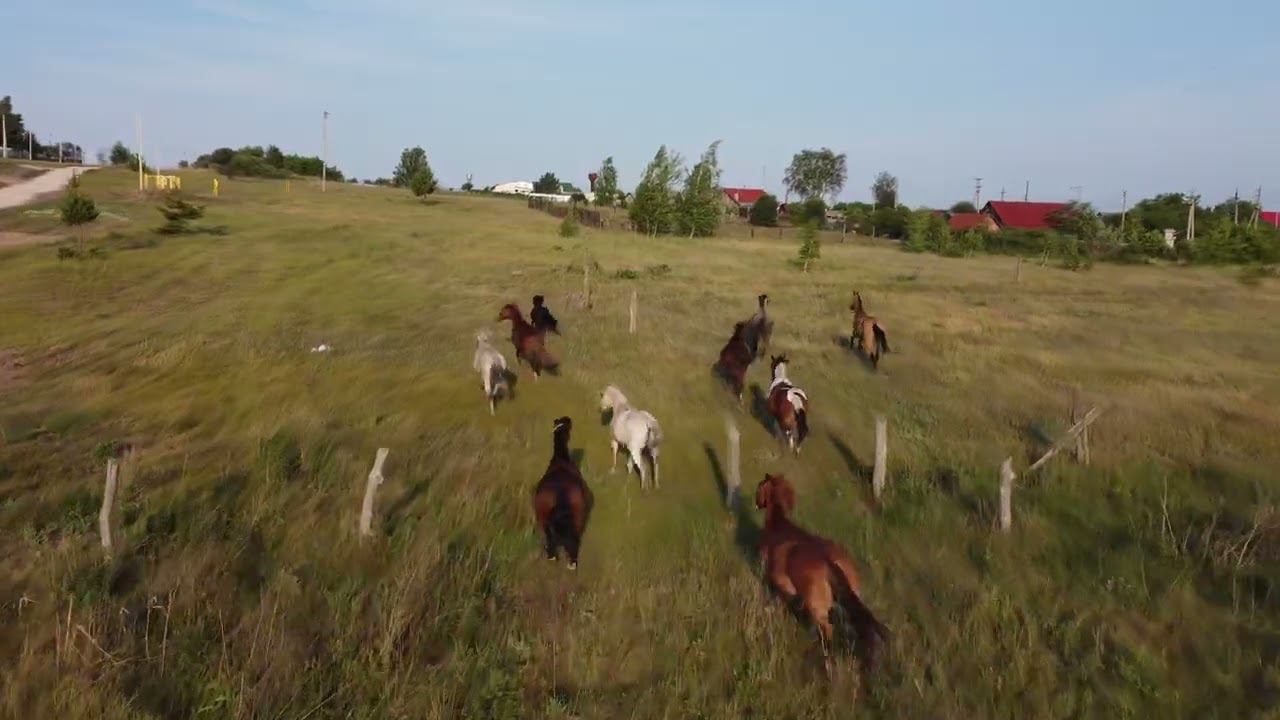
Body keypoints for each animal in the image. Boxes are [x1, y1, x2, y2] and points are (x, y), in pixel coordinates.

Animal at [533, 417, 590, 569]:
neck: (560, 460)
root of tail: (560, 494)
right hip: (577, 519)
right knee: (573, 540)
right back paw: (572, 563)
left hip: (544, 517)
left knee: (550, 537)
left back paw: (552, 557)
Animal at [755, 473, 889, 673]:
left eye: (760, 486)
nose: (756, 503)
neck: (779, 523)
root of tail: (829, 562)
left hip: (819, 609)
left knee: (828, 631)